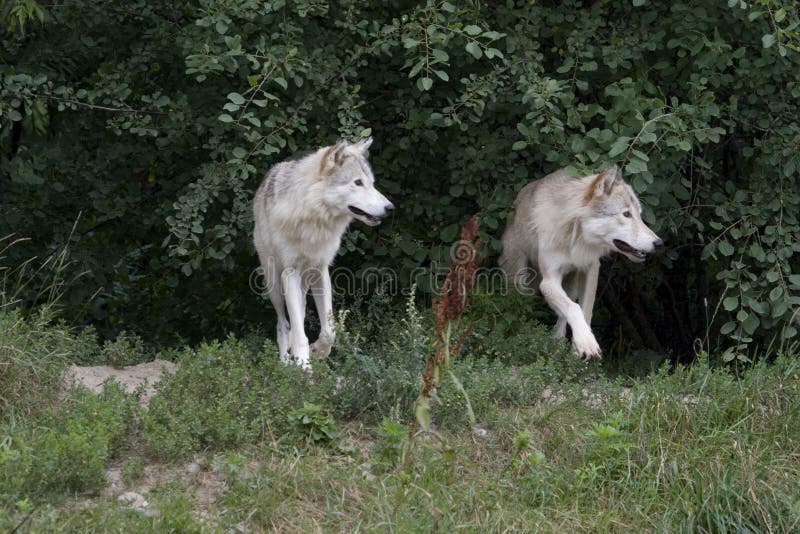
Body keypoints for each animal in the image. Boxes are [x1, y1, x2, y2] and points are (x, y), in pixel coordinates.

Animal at [253, 137, 394, 369]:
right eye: (357, 183)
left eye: (372, 183)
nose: (390, 208)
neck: (314, 219)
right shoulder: (291, 273)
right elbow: (299, 333)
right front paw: (303, 367)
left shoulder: (320, 271)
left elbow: (329, 331)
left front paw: (318, 351)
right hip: (274, 283)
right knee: (283, 323)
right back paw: (285, 361)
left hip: (303, 284)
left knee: (298, 316)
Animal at [499, 165, 662, 361]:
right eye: (627, 214)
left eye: (639, 215)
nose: (659, 243)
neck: (576, 238)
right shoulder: (549, 281)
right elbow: (574, 308)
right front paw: (586, 343)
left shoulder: (591, 270)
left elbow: (585, 311)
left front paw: (581, 348)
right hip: (519, 281)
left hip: (573, 284)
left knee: (562, 316)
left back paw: (559, 346)